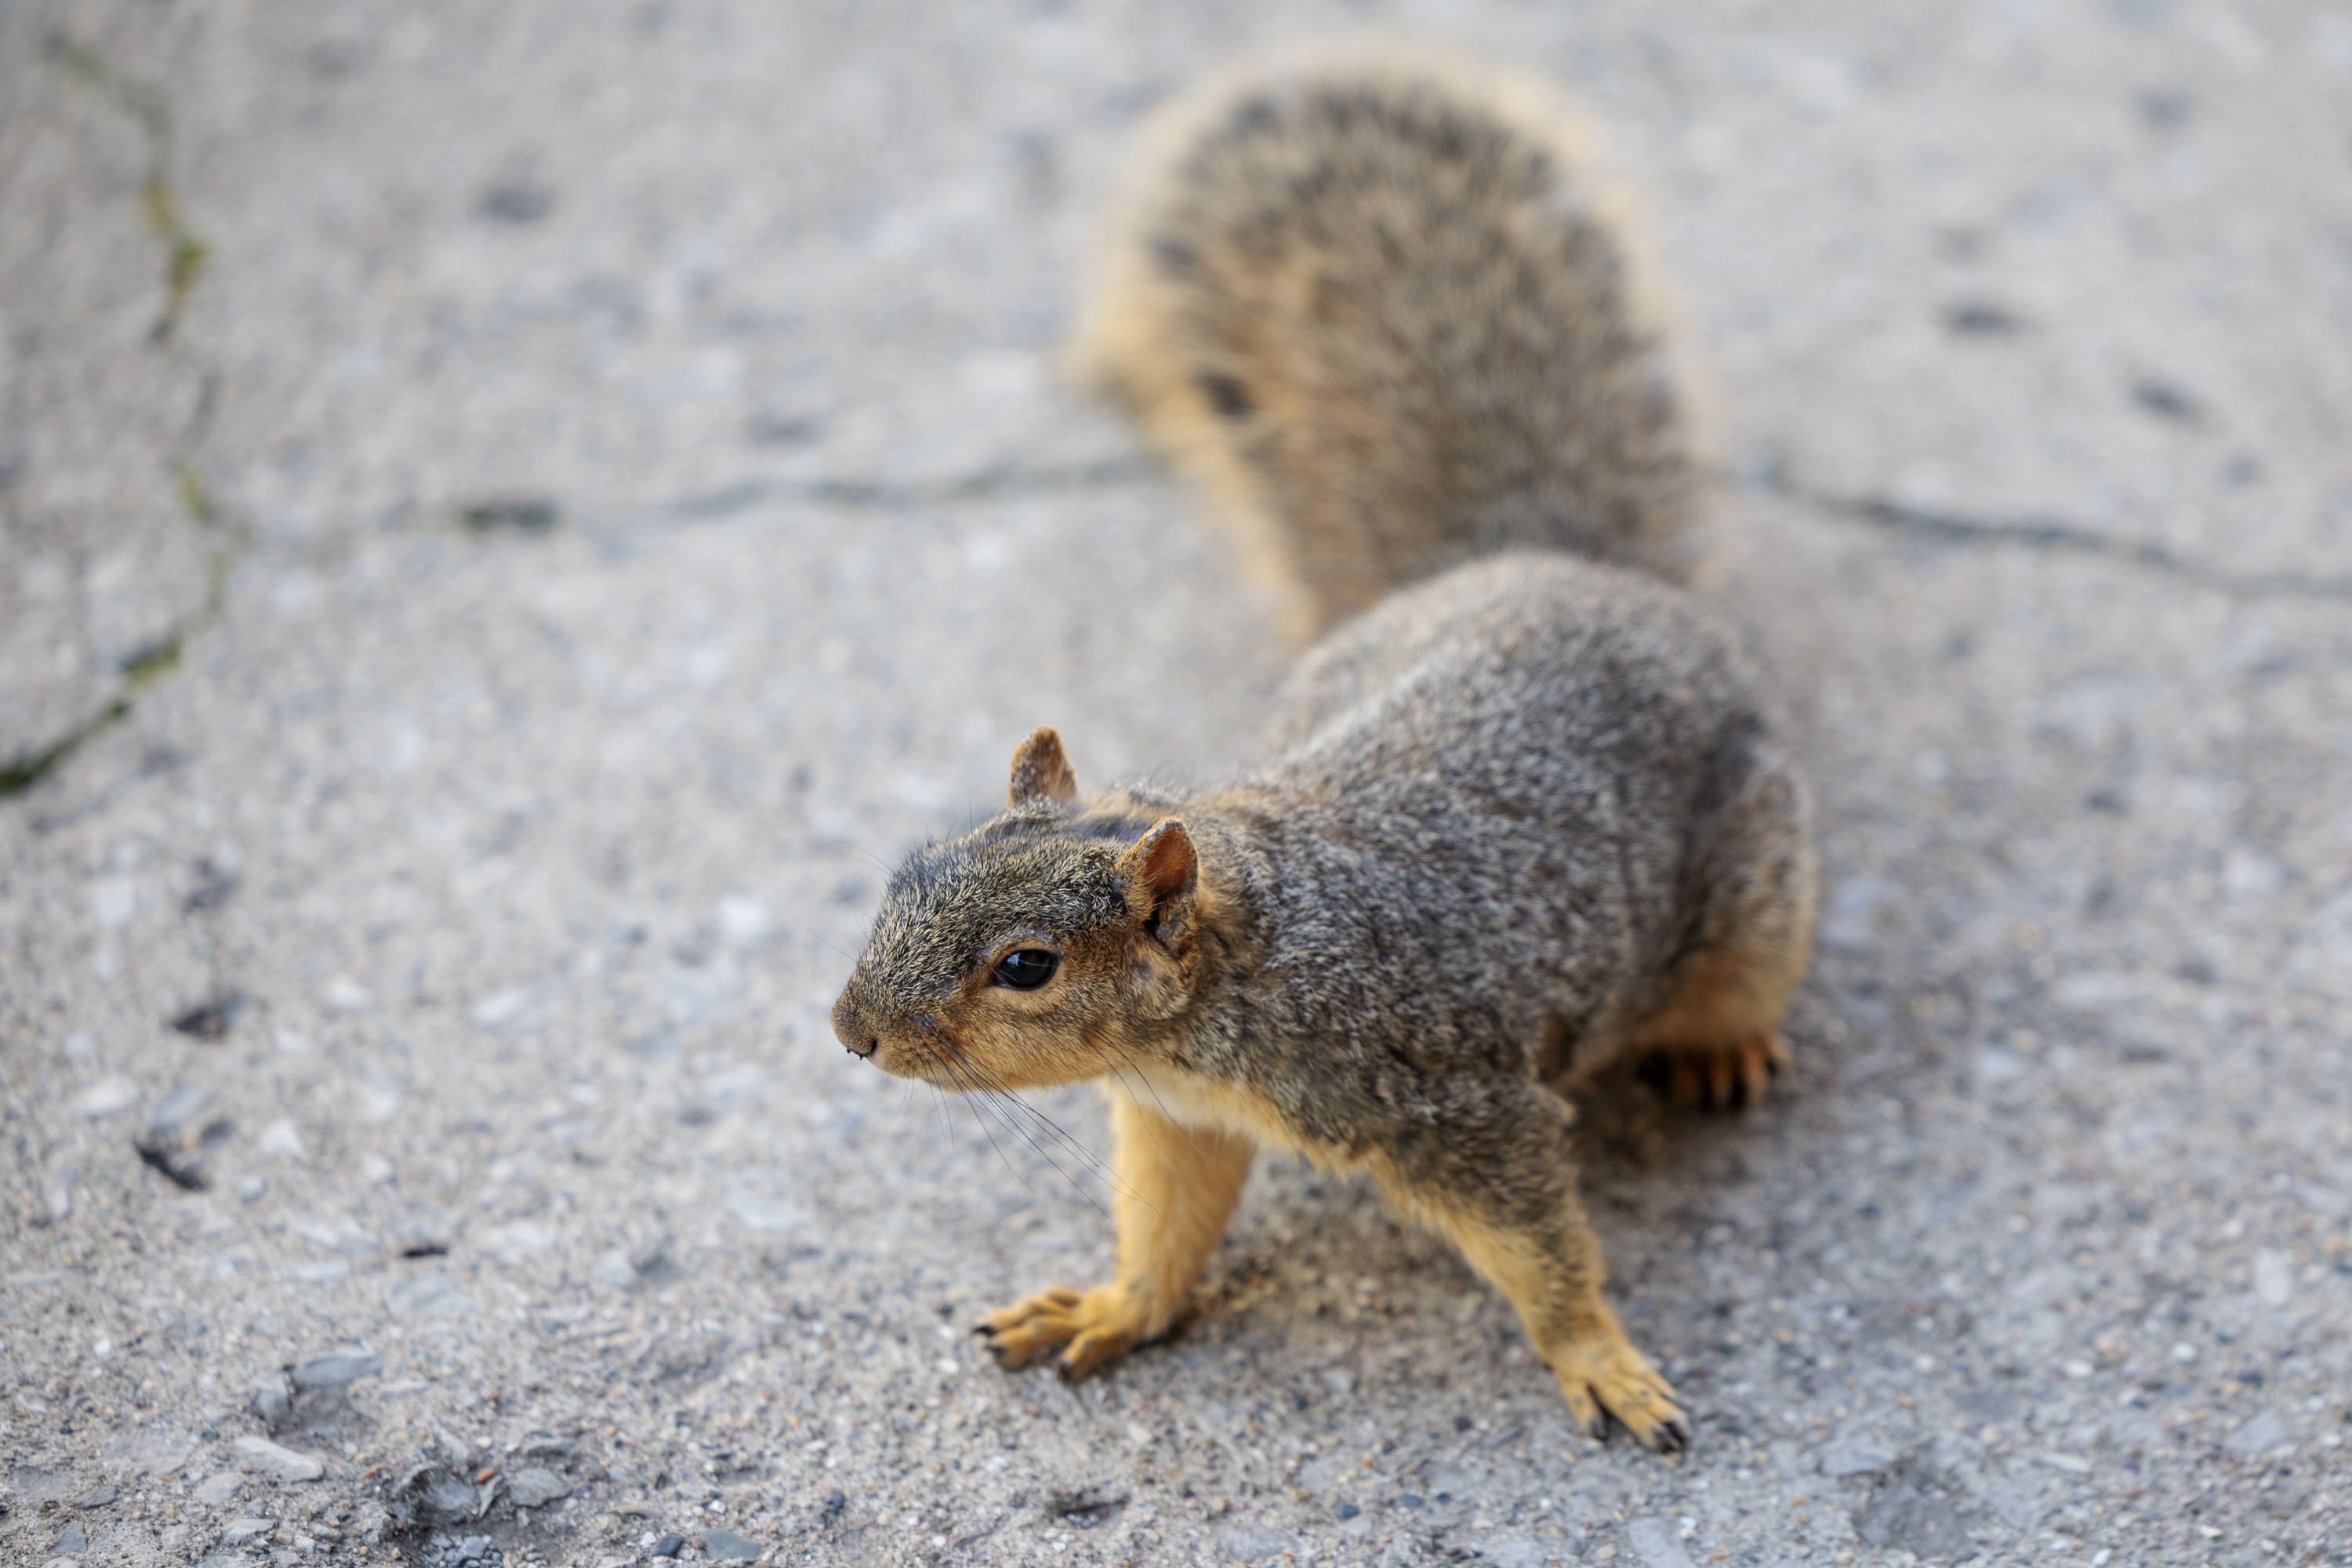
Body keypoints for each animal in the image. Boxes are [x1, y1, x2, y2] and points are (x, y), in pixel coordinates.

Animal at [831, 53, 1816, 1453]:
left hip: (1760, 886)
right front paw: (1113, 1306)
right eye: (907, 871)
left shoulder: (1457, 1105)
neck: (1225, 999)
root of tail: (1549, 563)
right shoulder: (1176, 1120)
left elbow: (1545, 1257)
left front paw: (1601, 1362)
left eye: (1026, 967)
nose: (851, 1031)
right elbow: (1168, 1228)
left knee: (1741, 984)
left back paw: (1723, 1047)